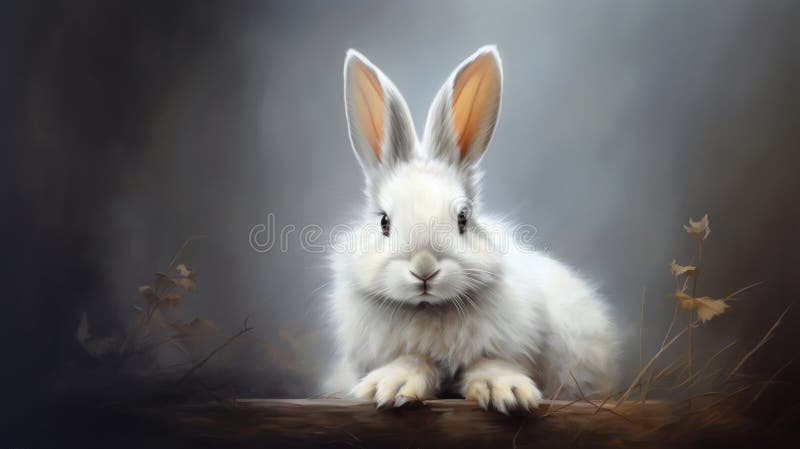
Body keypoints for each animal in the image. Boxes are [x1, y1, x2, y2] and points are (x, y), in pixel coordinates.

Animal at [323, 45, 617, 413]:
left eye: (463, 218)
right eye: (384, 222)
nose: (424, 269)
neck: (429, 309)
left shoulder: (507, 345)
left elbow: (492, 363)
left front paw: (507, 392)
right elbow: (412, 361)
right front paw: (391, 385)